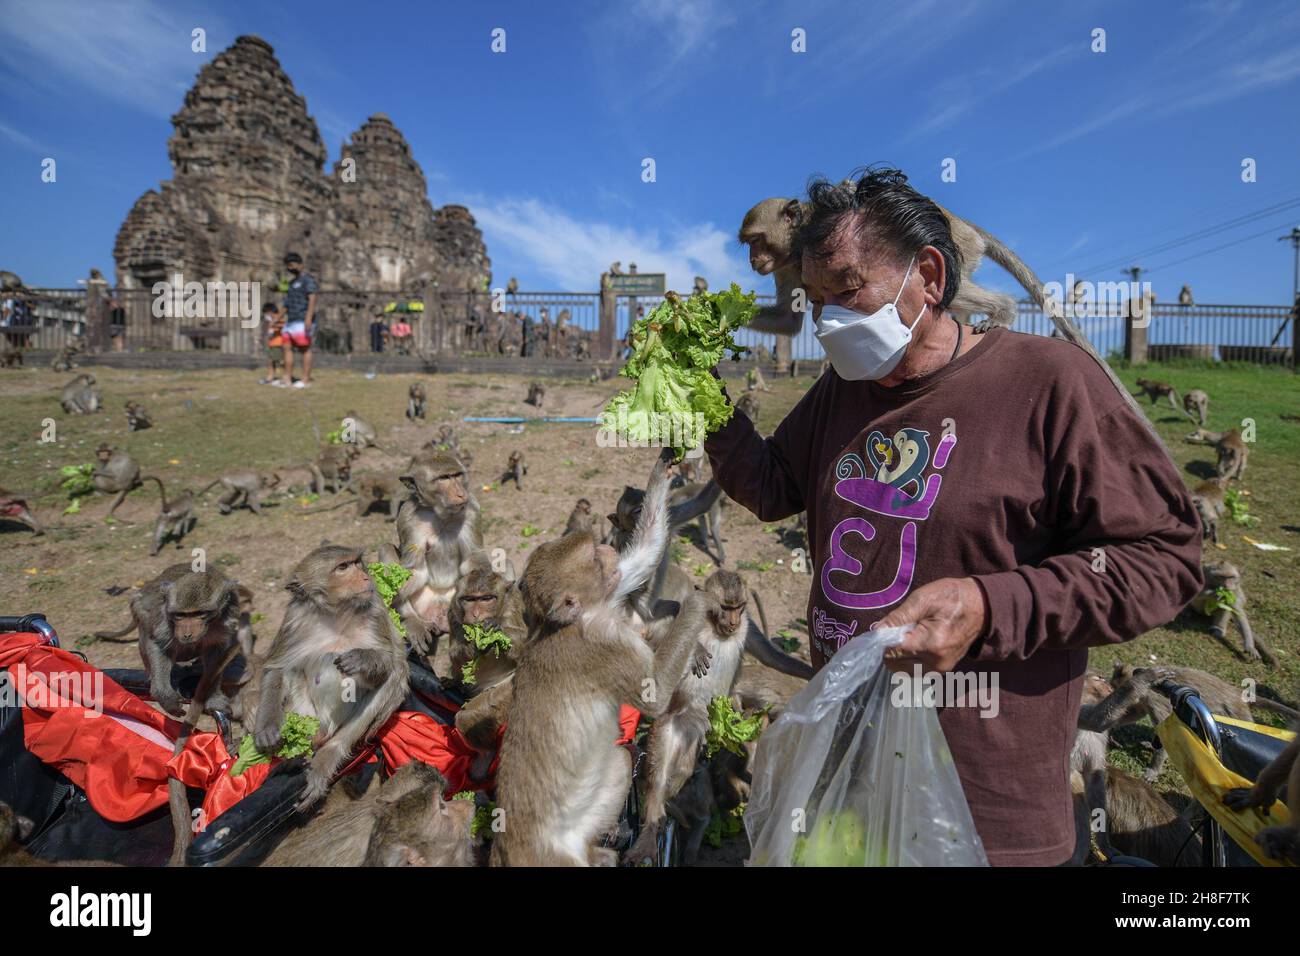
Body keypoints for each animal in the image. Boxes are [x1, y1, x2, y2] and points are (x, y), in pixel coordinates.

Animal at [254, 545, 411, 809]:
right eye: (343, 567)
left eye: (358, 563)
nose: (366, 577)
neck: (338, 614)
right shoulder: (294, 617)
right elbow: (277, 667)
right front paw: (267, 726)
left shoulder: (375, 609)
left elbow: (396, 664)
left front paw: (364, 659)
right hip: (312, 718)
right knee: (293, 672)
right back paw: (294, 757)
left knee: (390, 681)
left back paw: (326, 757)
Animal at [389, 450, 486, 657]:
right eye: (444, 478)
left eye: (457, 475)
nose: (461, 493)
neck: (440, 513)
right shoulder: (407, 516)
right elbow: (414, 570)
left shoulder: (473, 507)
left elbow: (474, 559)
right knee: (385, 546)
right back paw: (412, 621)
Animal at [491, 452, 712, 867]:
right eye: (594, 557)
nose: (609, 552)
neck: (584, 617)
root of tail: (506, 846)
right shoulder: (602, 646)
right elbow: (653, 692)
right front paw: (696, 601)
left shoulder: (612, 596)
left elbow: (643, 555)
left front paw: (665, 467)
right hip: (545, 858)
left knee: (620, 762)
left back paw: (602, 848)